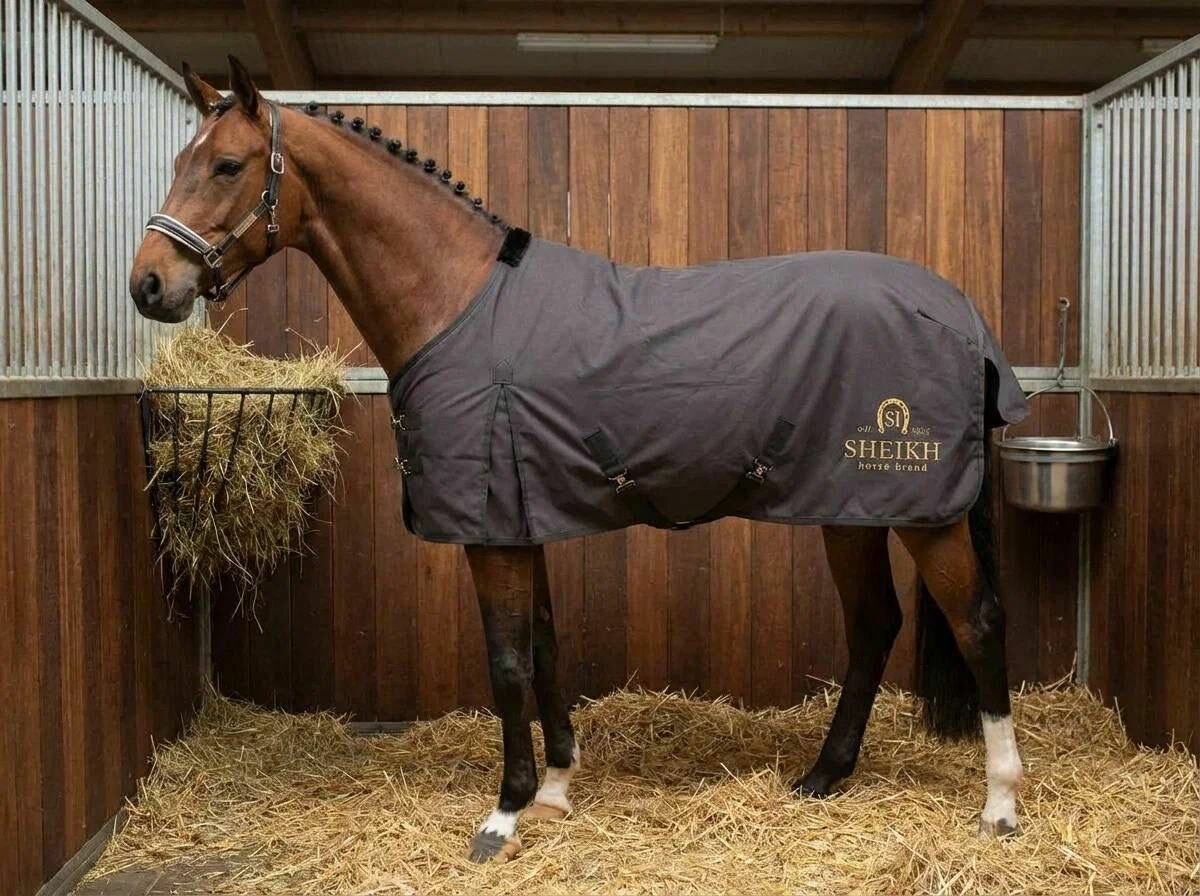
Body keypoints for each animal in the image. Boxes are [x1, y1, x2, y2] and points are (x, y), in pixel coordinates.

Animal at [129, 57, 1025, 863]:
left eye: (227, 165)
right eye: (178, 163)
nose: (149, 284)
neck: (456, 300)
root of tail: (959, 313)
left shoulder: (489, 526)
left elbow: (505, 661)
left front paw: (503, 815)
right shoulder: (523, 514)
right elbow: (545, 646)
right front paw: (557, 786)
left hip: (921, 512)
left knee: (976, 622)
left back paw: (1001, 803)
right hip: (852, 509)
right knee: (874, 624)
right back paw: (824, 776)